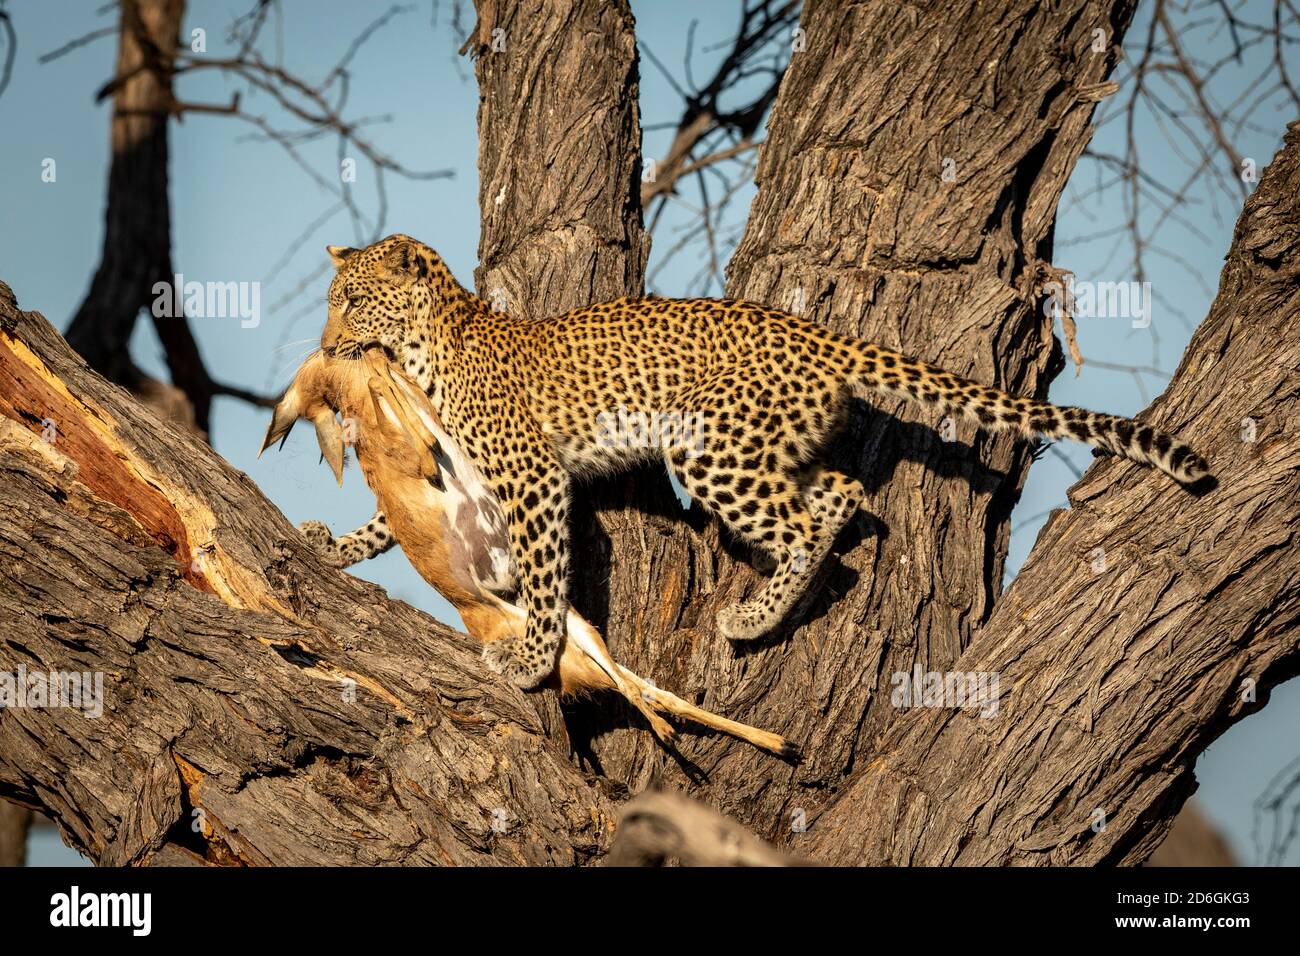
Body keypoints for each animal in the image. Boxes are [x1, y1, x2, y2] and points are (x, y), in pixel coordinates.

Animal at [296, 233, 1210, 690]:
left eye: (352, 301)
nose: (328, 348)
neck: (426, 347)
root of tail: (814, 331)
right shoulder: (457, 466)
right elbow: (385, 520)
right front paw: (327, 549)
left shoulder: (531, 476)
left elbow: (546, 571)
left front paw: (532, 658)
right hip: (765, 444)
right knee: (839, 490)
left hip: (707, 443)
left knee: (806, 523)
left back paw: (753, 617)